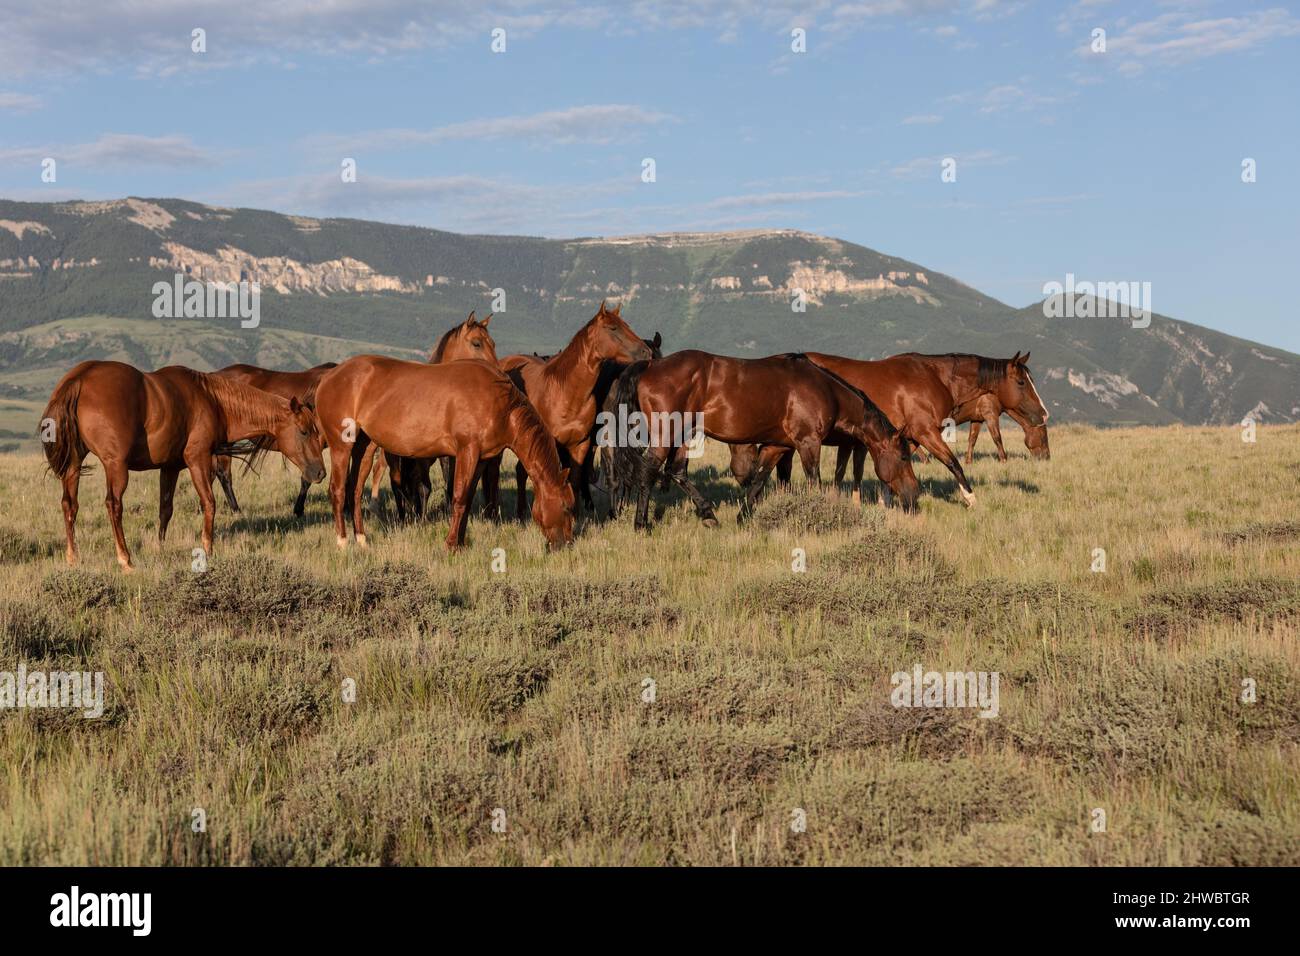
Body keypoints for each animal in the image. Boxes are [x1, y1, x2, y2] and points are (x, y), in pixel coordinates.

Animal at [313, 356, 574, 551]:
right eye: (566, 507)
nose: (567, 544)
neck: (498, 401)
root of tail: (329, 377)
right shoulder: (467, 451)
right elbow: (459, 498)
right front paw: (450, 544)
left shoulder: (481, 459)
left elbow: (467, 499)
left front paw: (460, 543)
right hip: (341, 447)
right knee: (337, 491)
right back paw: (342, 542)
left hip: (364, 449)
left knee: (355, 491)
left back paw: (361, 539)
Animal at [498, 301, 653, 520]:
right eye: (613, 328)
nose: (646, 352)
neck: (565, 393)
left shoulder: (581, 444)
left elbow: (577, 479)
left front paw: (577, 515)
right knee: (519, 472)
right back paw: (518, 513)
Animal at [613, 351, 920, 531]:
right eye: (904, 456)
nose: (915, 497)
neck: (825, 389)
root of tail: (650, 364)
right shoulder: (808, 443)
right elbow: (815, 481)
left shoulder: (777, 446)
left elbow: (759, 479)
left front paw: (743, 517)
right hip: (666, 433)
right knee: (649, 470)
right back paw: (641, 523)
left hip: (683, 435)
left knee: (676, 472)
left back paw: (708, 514)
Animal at [802, 351, 1048, 507]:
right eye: (1021, 382)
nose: (1044, 413)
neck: (936, 378)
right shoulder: (926, 432)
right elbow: (953, 462)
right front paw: (970, 498)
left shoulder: (908, 437)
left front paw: (885, 499)